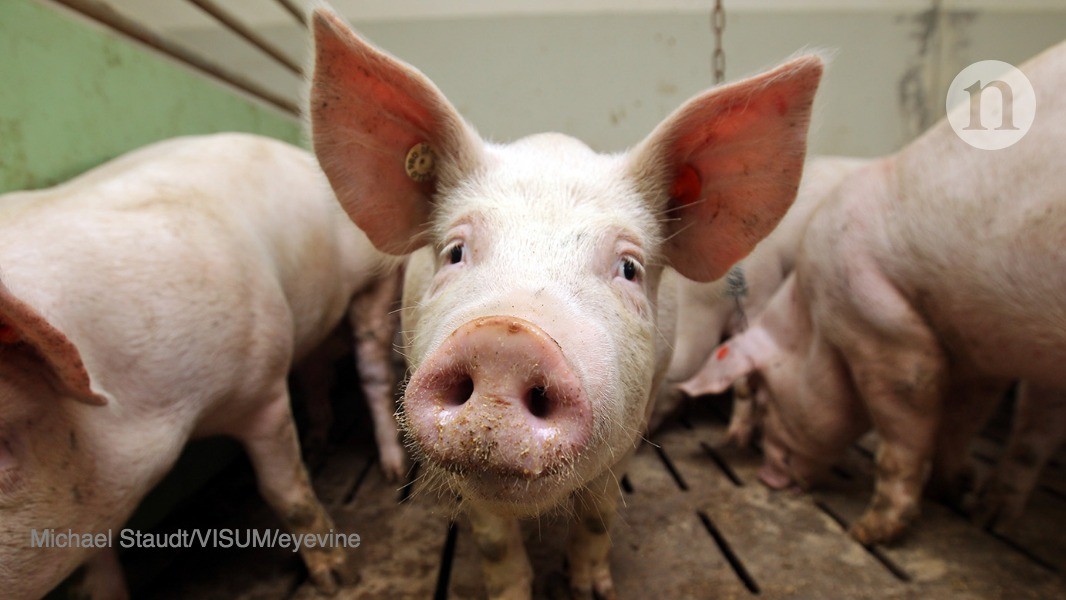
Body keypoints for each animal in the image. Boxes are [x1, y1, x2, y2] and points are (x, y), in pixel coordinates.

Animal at [0, 133, 404, 599]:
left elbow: (287, 493)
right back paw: (319, 441)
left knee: (373, 373)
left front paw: (338, 580)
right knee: (315, 369)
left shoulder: (261, 385)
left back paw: (392, 473)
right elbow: (96, 574)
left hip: (378, 280)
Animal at [308, 8, 823, 598]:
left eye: (629, 268)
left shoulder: (633, 419)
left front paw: (592, 589)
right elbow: (494, 540)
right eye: (455, 252)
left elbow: (599, 513)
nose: (503, 340)